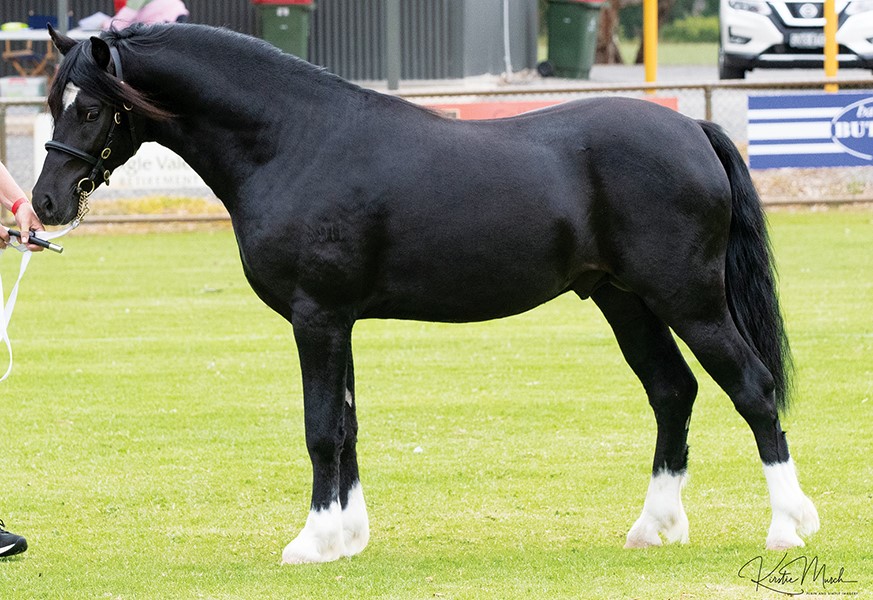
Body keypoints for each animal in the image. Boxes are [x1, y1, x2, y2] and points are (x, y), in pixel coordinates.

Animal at [33, 23, 819, 563]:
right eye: (51, 100)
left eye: (91, 109)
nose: (44, 203)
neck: (295, 141)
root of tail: (693, 127)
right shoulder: (338, 319)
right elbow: (347, 427)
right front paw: (346, 537)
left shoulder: (317, 317)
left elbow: (321, 428)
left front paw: (311, 543)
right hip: (624, 299)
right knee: (671, 392)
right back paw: (654, 526)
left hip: (689, 299)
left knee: (751, 388)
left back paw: (788, 526)